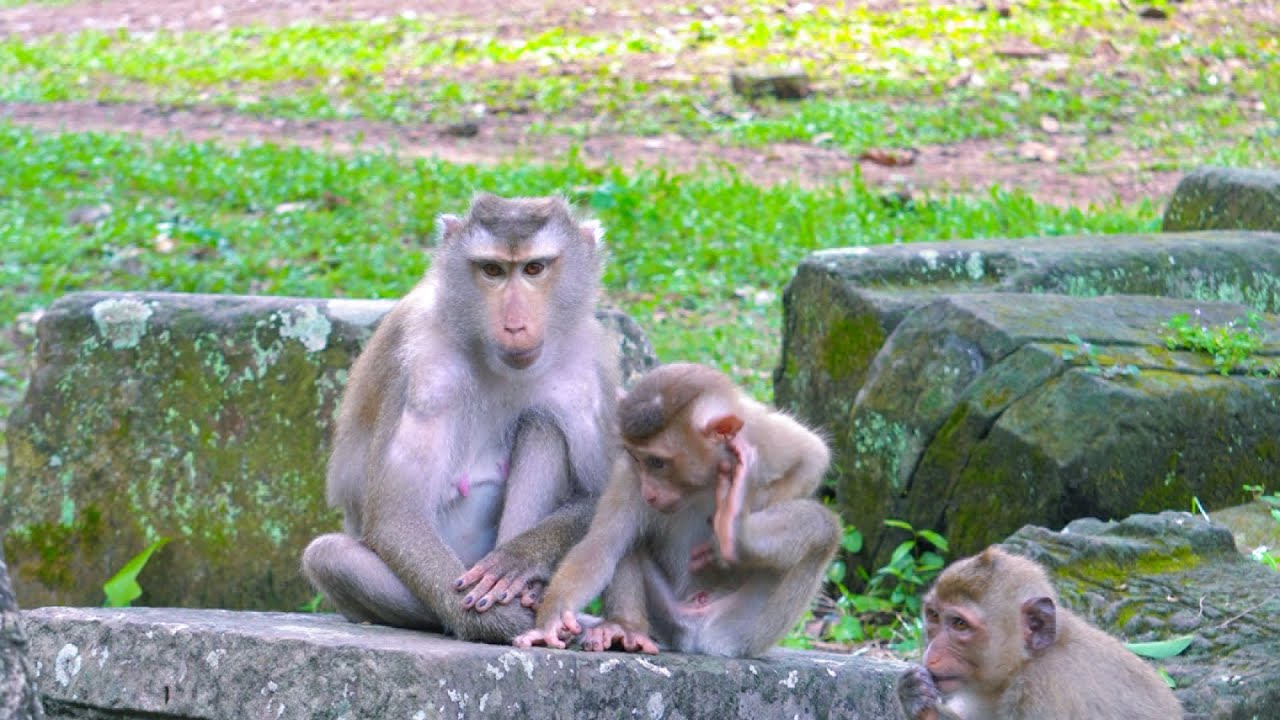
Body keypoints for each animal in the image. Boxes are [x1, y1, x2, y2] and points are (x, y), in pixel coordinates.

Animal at [301, 193, 618, 643]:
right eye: (493, 270)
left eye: (534, 268)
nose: (515, 324)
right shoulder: (424, 366)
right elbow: (398, 517)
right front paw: (506, 620)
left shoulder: (587, 366)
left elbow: (604, 497)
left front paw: (519, 559)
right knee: (329, 556)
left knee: (544, 424)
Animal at [512, 363, 840, 657]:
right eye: (637, 457)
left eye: (657, 462)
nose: (648, 491)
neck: (702, 482)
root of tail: (696, 636)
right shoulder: (628, 475)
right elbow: (601, 546)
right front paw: (551, 620)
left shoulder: (761, 435)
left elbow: (813, 456)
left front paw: (736, 521)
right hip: (671, 618)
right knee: (625, 540)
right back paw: (624, 627)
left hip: (744, 631)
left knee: (823, 526)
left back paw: (736, 534)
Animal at [896, 546, 1184, 720]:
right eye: (933, 616)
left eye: (959, 624)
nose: (931, 654)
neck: (1027, 662)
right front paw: (913, 692)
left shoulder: (1045, 693)